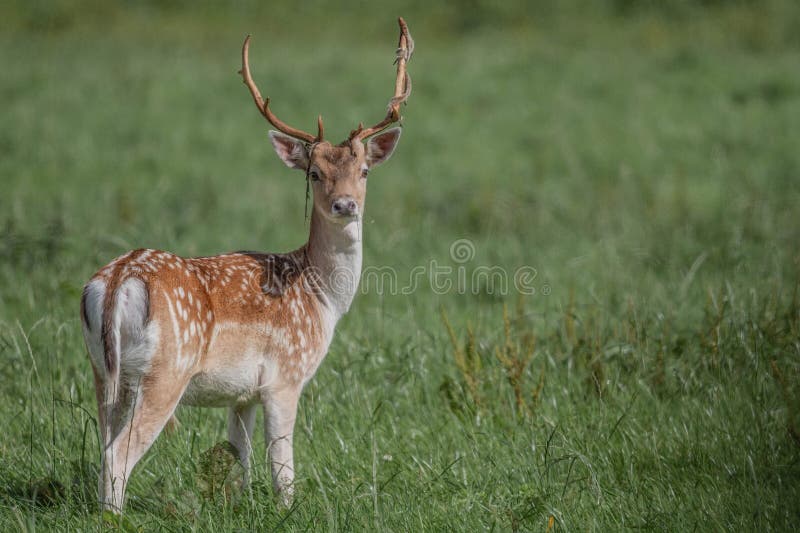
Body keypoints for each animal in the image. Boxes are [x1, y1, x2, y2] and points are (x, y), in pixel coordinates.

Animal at [80, 18, 413, 513]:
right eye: (314, 173)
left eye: (364, 171)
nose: (345, 204)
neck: (322, 299)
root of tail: (120, 280)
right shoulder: (285, 377)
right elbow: (283, 466)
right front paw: (288, 510)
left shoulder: (242, 395)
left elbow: (239, 459)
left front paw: (233, 506)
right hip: (163, 373)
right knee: (118, 452)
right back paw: (116, 517)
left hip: (101, 370)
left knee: (102, 442)